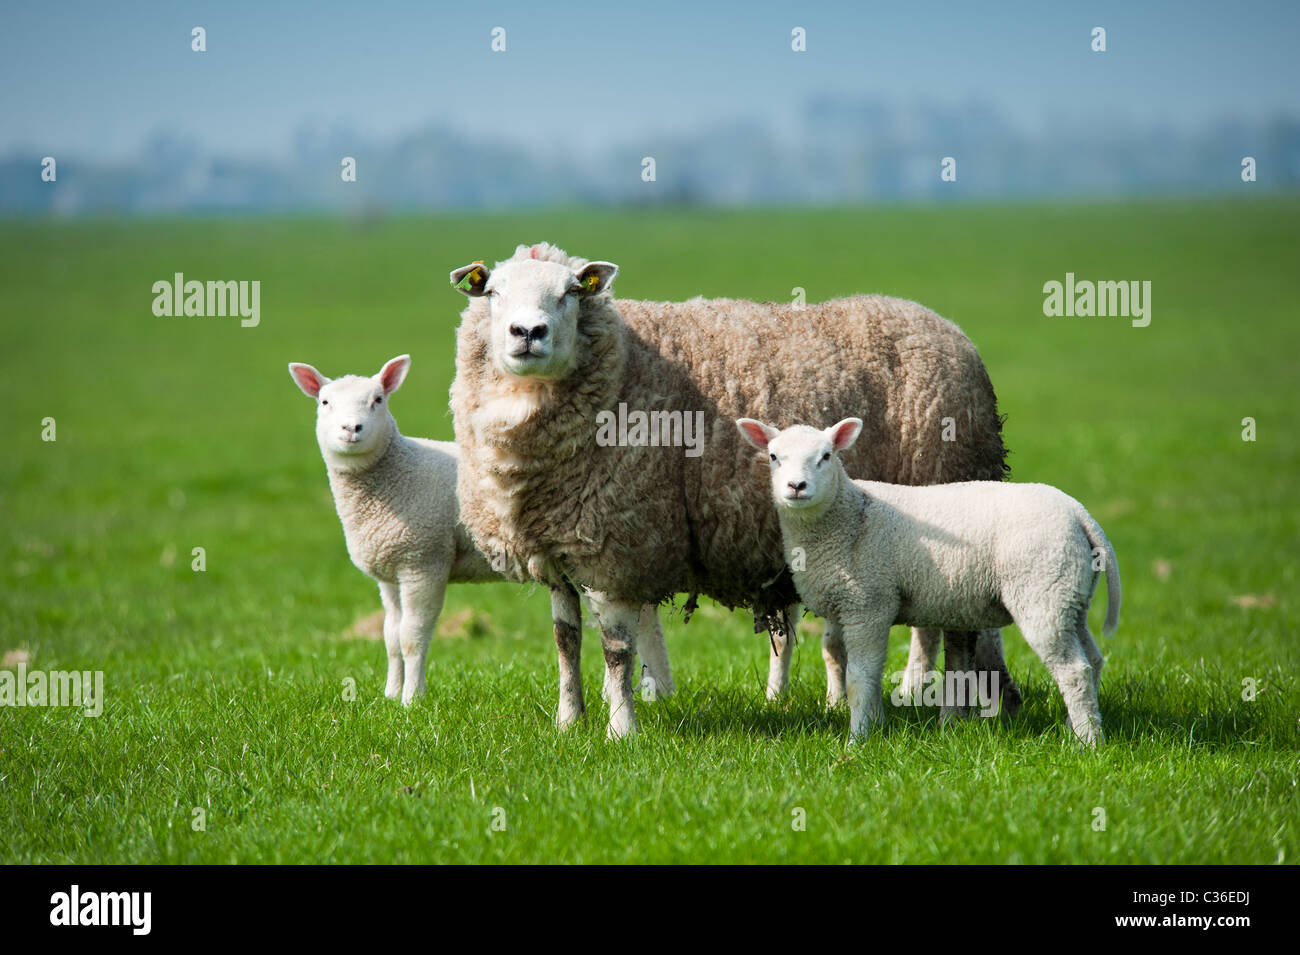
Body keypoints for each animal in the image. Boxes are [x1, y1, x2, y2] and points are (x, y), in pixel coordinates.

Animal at [287, 353, 673, 715]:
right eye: (324, 402)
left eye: (378, 399)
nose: (351, 428)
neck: (393, 473)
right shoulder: (390, 572)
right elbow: (391, 637)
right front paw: (391, 694)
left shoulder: (423, 561)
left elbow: (412, 637)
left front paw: (412, 700)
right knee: (646, 621)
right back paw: (655, 692)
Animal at [448, 242, 1017, 738]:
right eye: (492, 292)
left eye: (571, 292)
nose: (528, 332)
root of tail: (942, 325)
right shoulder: (558, 548)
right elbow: (565, 642)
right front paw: (570, 723)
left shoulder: (618, 547)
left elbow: (616, 649)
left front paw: (621, 731)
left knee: (955, 630)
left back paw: (949, 713)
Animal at [736, 416, 1120, 746]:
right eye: (773, 456)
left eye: (826, 456)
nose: (796, 486)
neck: (848, 514)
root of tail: (1079, 513)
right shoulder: (855, 605)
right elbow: (864, 671)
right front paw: (876, 726)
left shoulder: (868, 603)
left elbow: (860, 677)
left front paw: (857, 739)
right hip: (1070, 596)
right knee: (1093, 660)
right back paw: (1077, 726)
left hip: (1042, 592)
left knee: (1074, 670)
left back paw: (1087, 743)